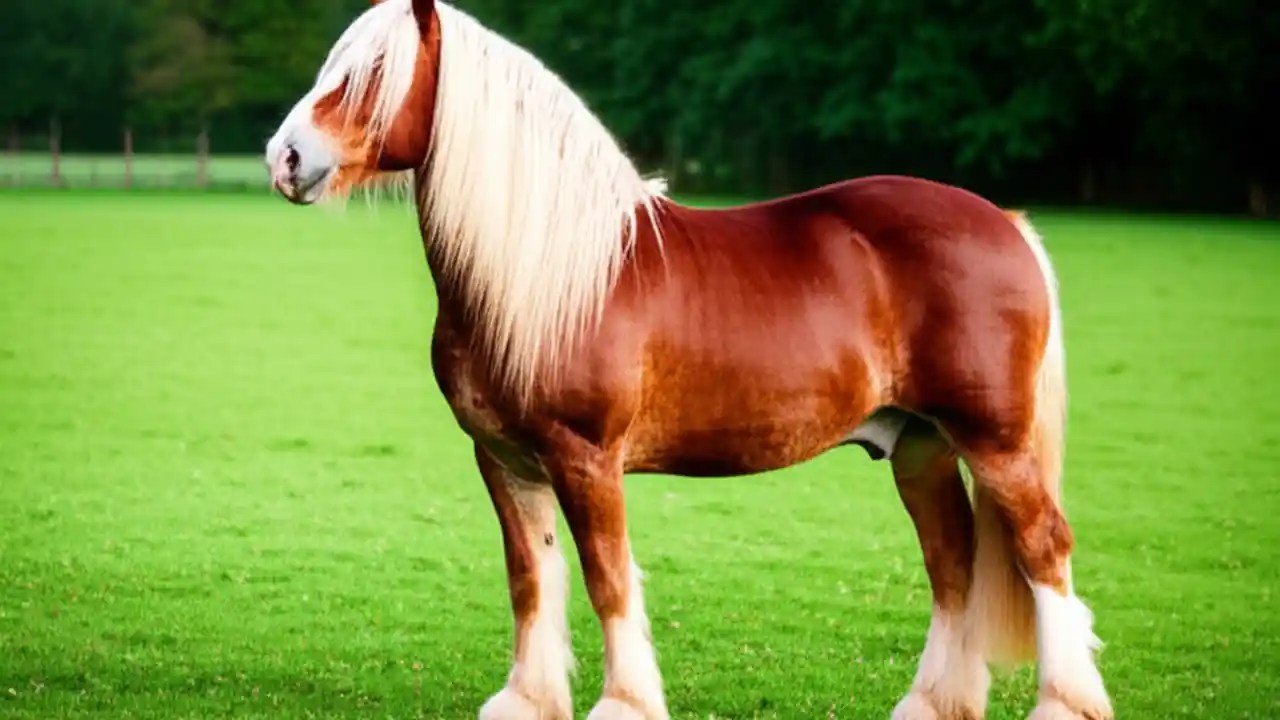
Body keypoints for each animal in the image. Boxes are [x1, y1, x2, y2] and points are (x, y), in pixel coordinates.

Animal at [264, 1, 1113, 718]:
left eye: (372, 72)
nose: (285, 158)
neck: (555, 273)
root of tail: (1005, 222)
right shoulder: (504, 459)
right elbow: (531, 576)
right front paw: (529, 701)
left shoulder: (585, 459)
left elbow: (607, 578)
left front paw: (624, 704)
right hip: (921, 449)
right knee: (953, 565)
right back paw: (933, 704)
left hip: (993, 443)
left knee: (1043, 550)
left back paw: (1062, 704)